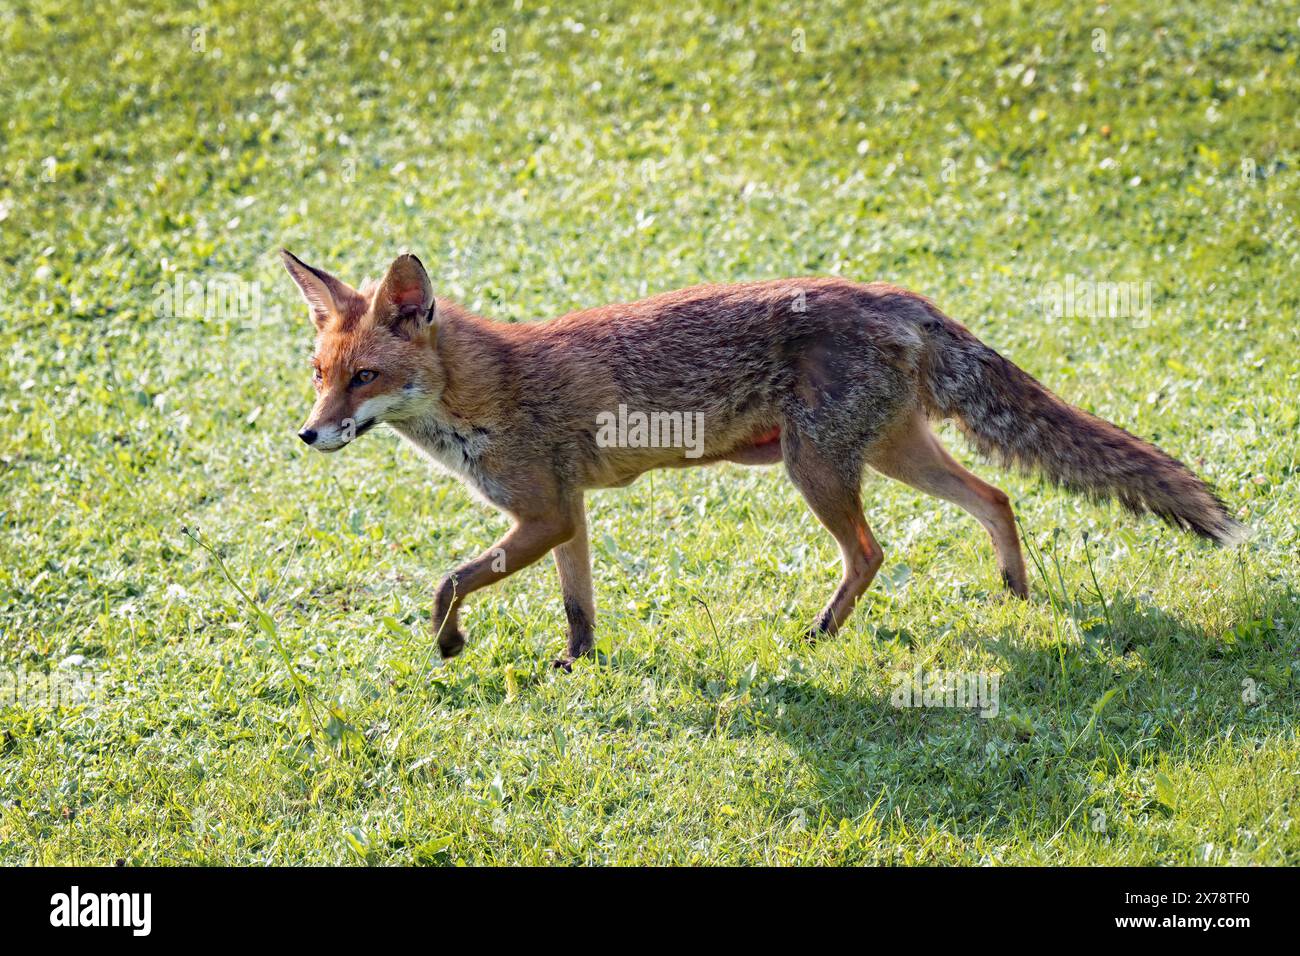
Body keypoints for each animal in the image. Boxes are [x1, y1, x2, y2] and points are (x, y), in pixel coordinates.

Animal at [282, 249, 1246, 669]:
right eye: (320, 375)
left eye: (365, 378)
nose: (308, 436)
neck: (485, 391)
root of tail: (896, 294)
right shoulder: (566, 517)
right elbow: (577, 606)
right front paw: (577, 664)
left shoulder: (543, 513)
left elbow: (448, 580)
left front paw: (449, 643)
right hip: (894, 454)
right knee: (997, 497)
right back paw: (1015, 595)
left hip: (819, 472)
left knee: (873, 552)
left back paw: (822, 633)